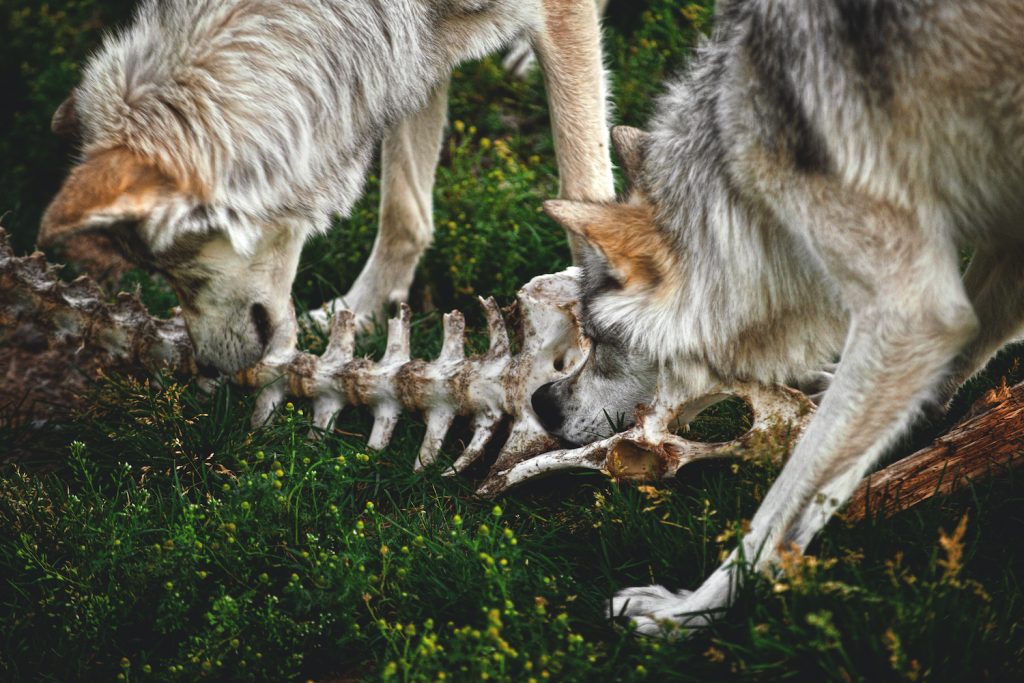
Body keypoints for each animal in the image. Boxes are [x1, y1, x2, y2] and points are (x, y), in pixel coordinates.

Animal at [38, 0, 614, 376]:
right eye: (154, 274)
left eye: (173, 267)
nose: (209, 371)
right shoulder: (410, 52)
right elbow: (404, 212)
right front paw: (361, 314)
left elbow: (585, 197)